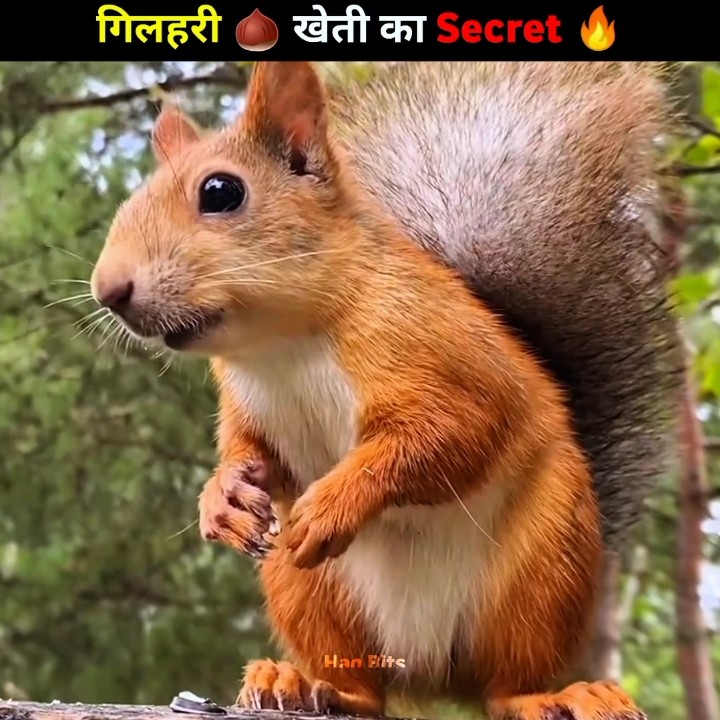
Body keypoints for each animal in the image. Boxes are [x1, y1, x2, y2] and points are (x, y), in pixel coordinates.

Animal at [90, 61, 681, 720]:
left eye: (221, 192)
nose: (107, 290)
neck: (283, 344)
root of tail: (430, 675)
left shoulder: (446, 361)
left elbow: (443, 435)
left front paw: (331, 505)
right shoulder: (244, 401)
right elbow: (250, 450)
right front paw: (222, 499)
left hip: (542, 568)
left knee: (508, 681)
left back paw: (556, 695)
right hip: (309, 588)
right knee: (363, 688)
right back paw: (297, 683)